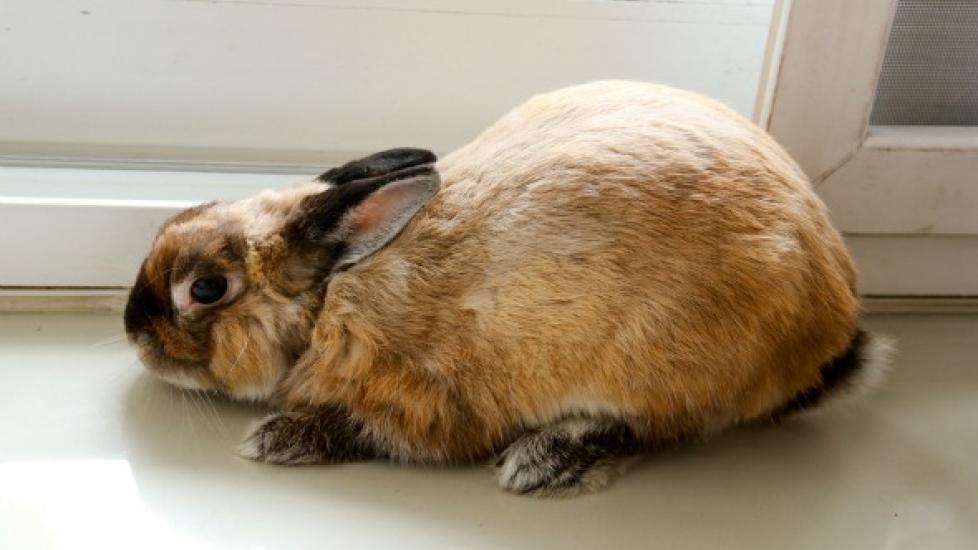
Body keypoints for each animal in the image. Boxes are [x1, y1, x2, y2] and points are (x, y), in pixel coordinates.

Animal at [124, 81, 893, 496]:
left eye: (207, 288)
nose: (133, 332)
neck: (330, 303)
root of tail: (825, 330)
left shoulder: (430, 402)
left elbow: (378, 432)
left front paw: (278, 439)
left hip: (660, 371)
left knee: (651, 428)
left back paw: (544, 463)